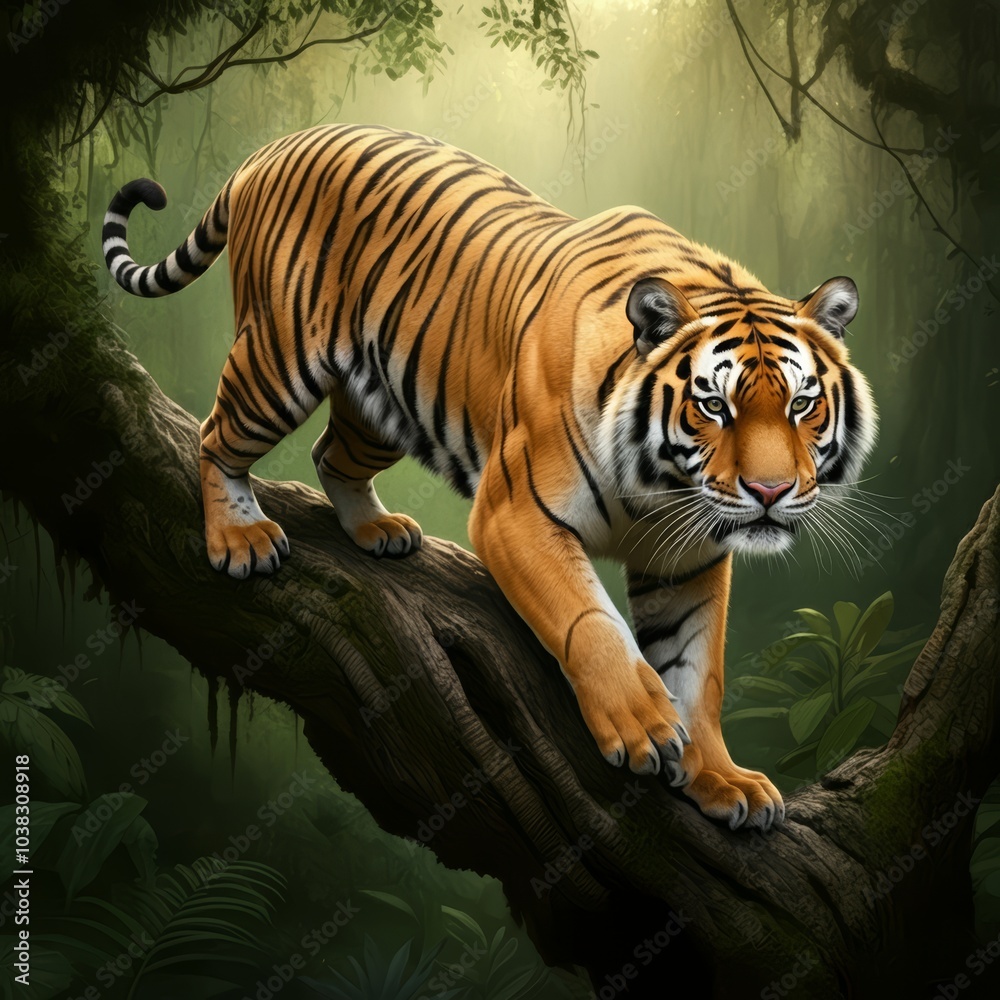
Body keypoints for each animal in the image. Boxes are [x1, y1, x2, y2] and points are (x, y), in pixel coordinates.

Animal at [102, 124, 877, 831]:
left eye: (802, 404)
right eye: (715, 405)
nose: (771, 494)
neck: (661, 487)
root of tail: (277, 144)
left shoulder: (687, 556)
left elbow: (698, 668)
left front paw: (719, 778)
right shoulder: (516, 514)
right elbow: (588, 621)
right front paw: (642, 725)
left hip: (380, 406)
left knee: (329, 454)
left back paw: (377, 530)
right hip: (276, 360)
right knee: (215, 438)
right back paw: (240, 539)